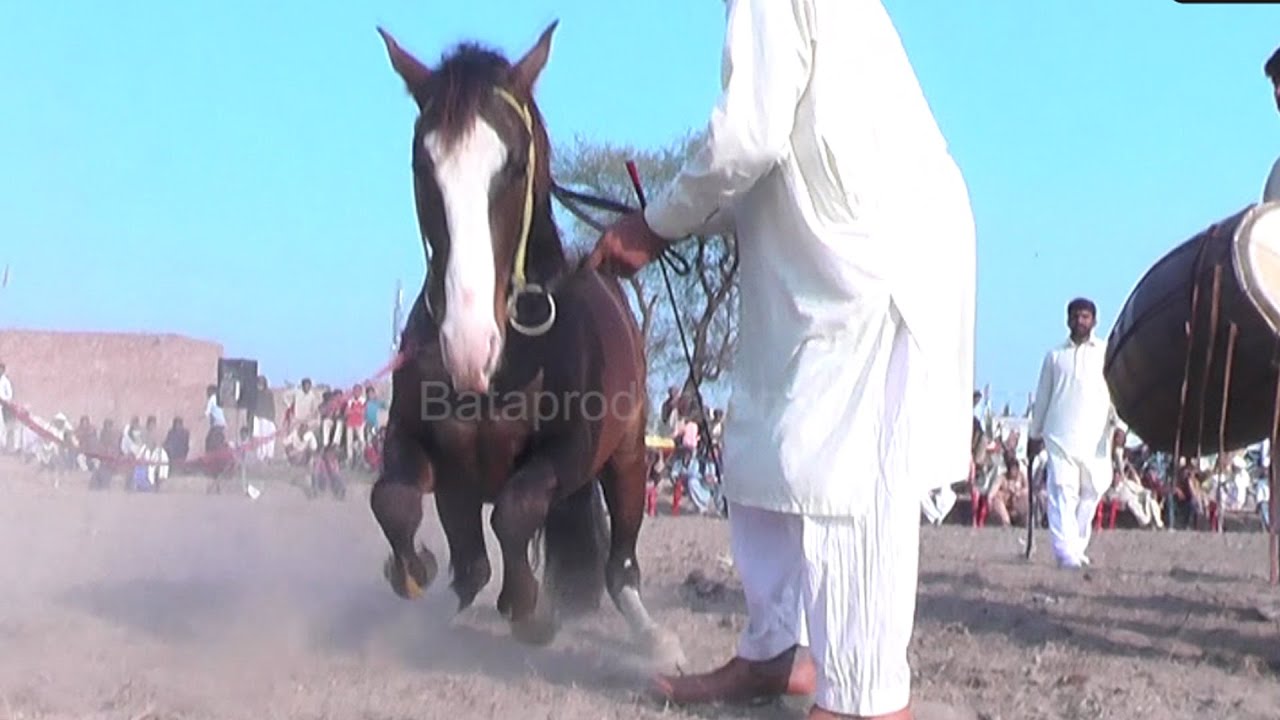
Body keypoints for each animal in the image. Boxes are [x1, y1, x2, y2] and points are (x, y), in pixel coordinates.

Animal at [370, 22, 685, 669]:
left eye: (513, 165)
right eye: (421, 164)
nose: (469, 346)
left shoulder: (569, 456)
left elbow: (515, 515)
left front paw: (531, 612)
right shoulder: (429, 453)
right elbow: (393, 501)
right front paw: (411, 569)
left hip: (627, 458)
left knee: (620, 565)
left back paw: (651, 638)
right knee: (470, 568)